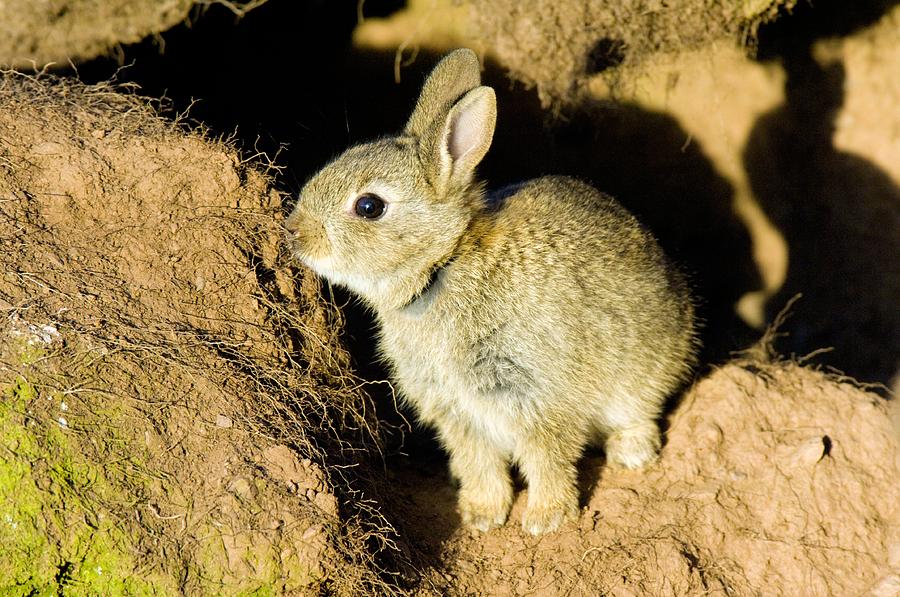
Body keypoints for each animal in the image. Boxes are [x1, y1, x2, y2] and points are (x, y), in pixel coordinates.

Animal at [284, 48, 698, 535]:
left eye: (369, 206)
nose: (295, 232)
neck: (444, 263)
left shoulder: (536, 396)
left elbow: (547, 457)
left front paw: (545, 518)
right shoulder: (457, 412)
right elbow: (478, 461)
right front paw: (482, 514)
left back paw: (630, 452)